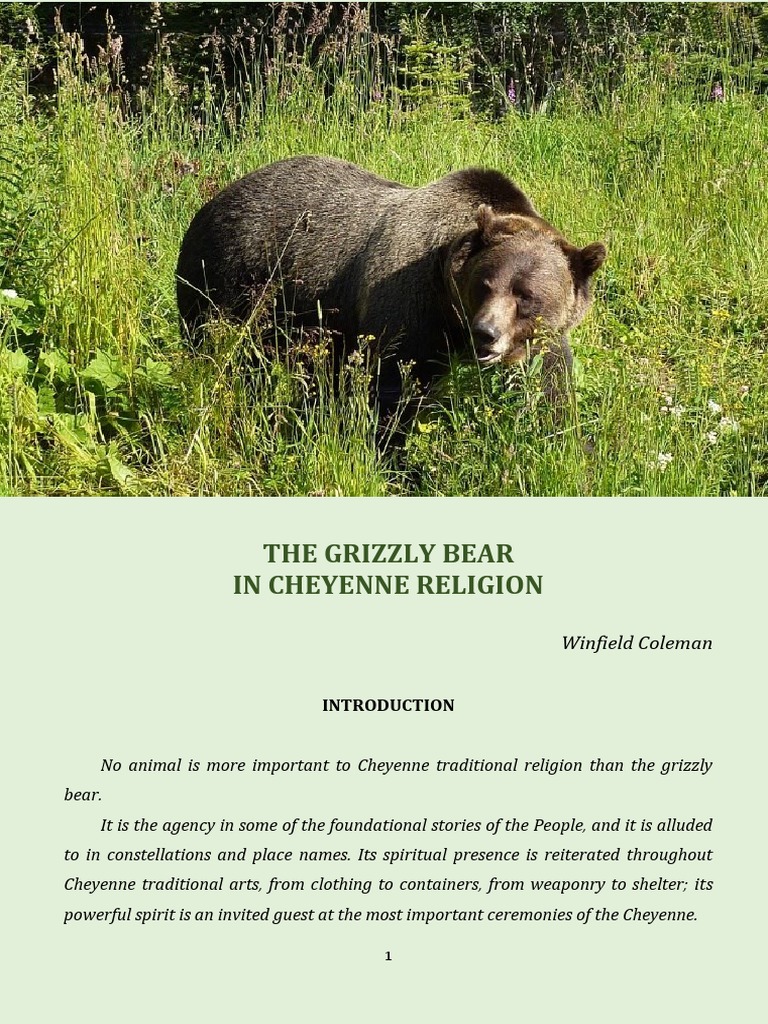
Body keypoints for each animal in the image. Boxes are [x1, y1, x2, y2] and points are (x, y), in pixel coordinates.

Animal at [176, 155, 606, 418]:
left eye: (525, 296)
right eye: (484, 285)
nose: (486, 333)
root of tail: (213, 199)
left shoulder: (543, 339)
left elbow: (553, 388)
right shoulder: (408, 306)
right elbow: (392, 388)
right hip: (228, 281)